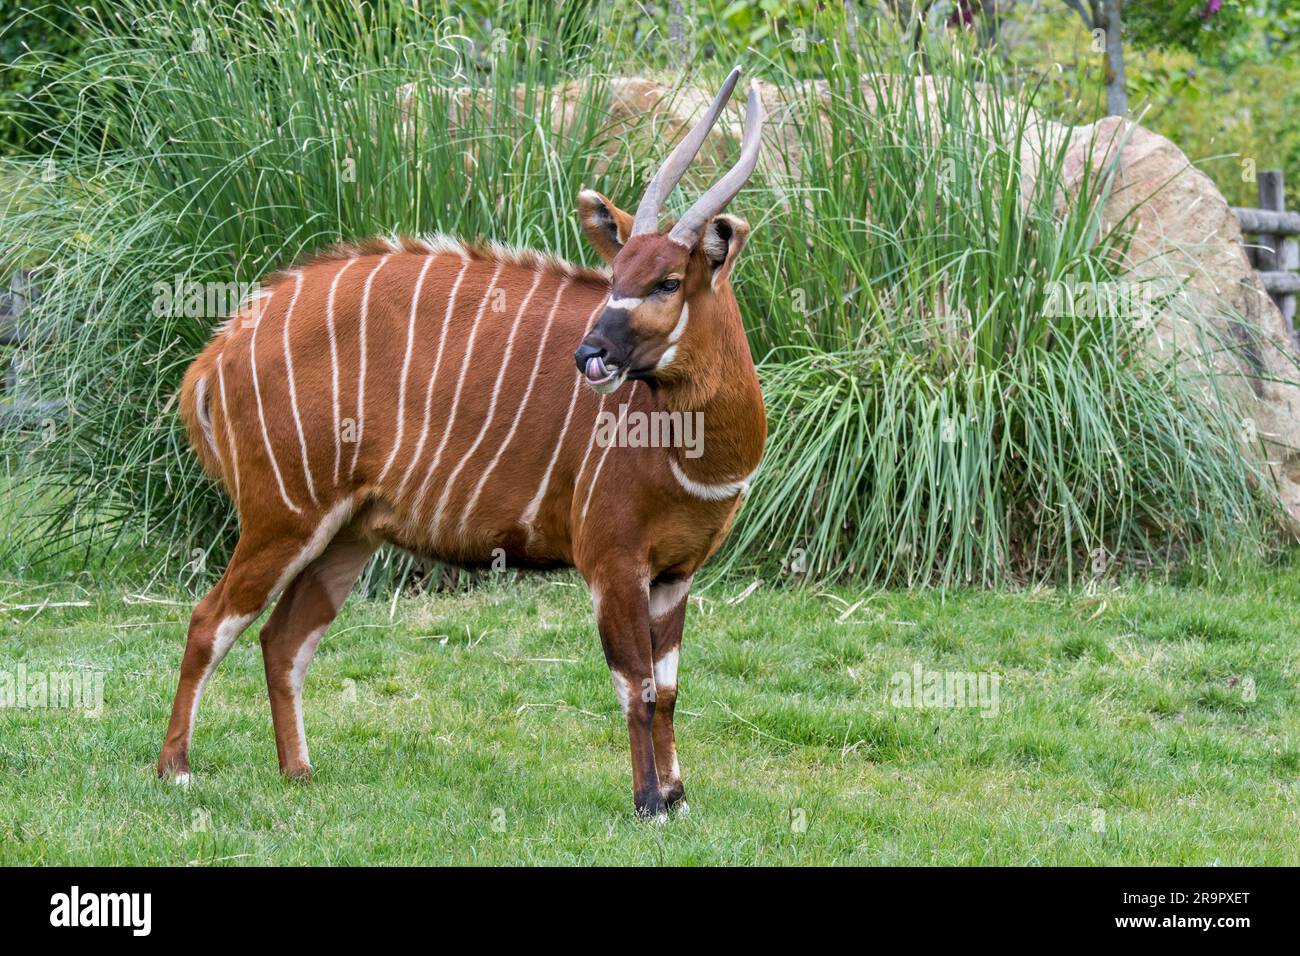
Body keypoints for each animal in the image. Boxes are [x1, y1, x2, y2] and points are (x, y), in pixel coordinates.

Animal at [158, 69, 766, 819]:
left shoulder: (675, 573)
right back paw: (176, 769)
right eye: (616, 273)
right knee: (211, 619)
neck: (690, 449)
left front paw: (677, 796)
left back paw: (298, 773)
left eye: (667, 281)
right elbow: (638, 685)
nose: (590, 354)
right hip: (283, 515)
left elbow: (671, 688)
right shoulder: (612, 560)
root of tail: (221, 347)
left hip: (348, 533)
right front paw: (649, 801)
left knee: (284, 637)